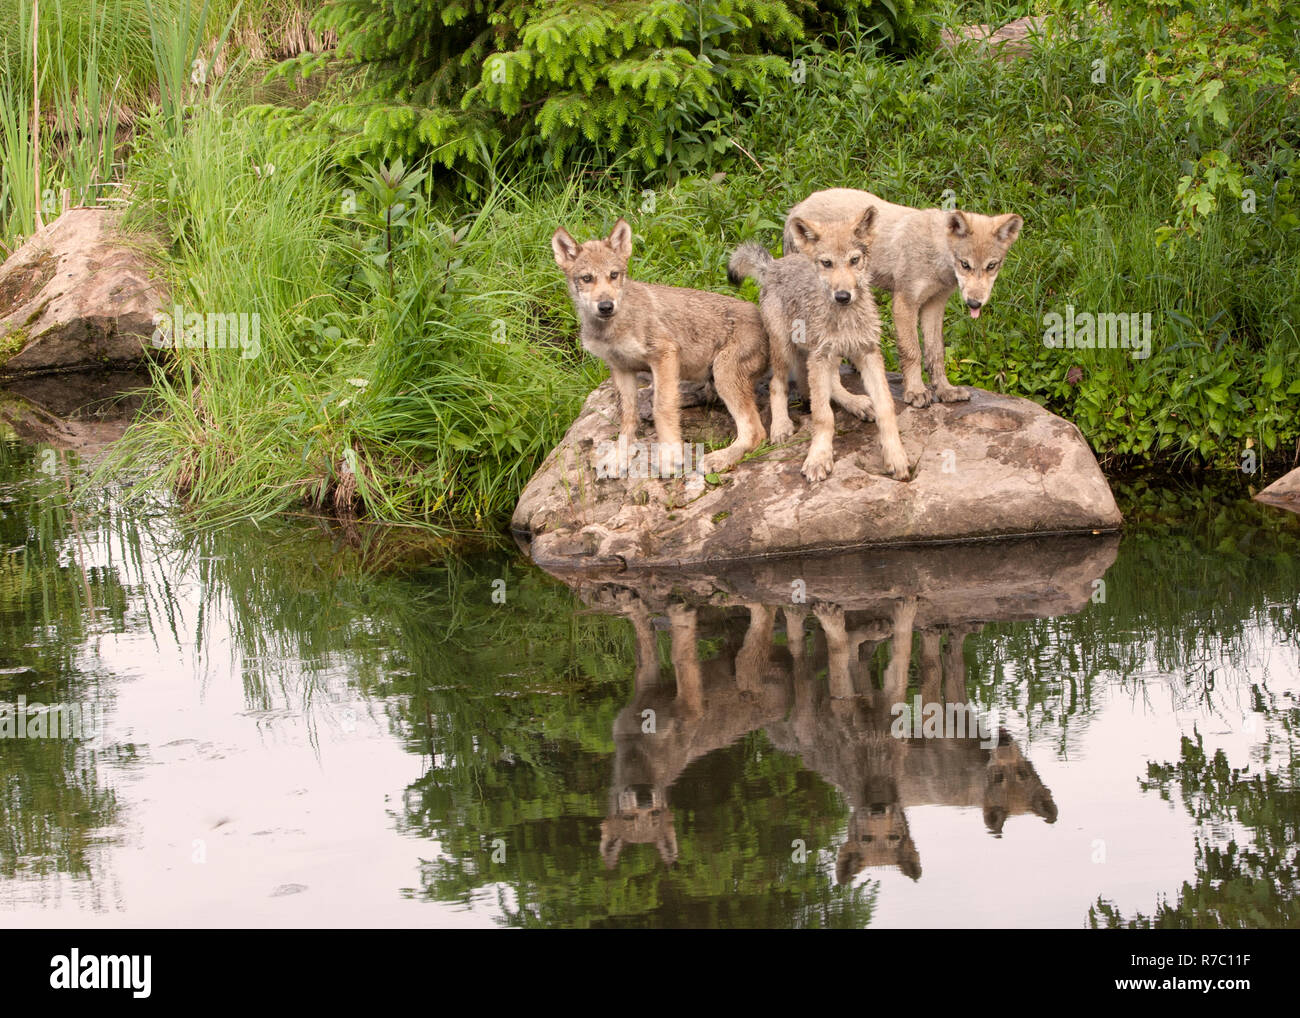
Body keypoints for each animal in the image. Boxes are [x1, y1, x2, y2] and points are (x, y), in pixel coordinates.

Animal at [552, 218, 768, 476]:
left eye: (614, 275)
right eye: (586, 278)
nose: (606, 306)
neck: (611, 328)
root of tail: (761, 313)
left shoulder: (664, 354)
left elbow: (662, 409)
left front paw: (670, 457)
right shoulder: (621, 369)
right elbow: (628, 416)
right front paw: (620, 456)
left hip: (724, 372)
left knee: (756, 432)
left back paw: (719, 458)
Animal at [729, 207, 910, 483]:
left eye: (854, 260)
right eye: (827, 263)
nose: (843, 296)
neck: (844, 317)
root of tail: (773, 265)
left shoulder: (867, 354)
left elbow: (886, 408)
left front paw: (895, 455)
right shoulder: (820, 356)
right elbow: (823, 416)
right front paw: (819, 458)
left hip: (827, 356)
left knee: (830, 383)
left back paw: (857, 403)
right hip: (787, 350)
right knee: (777, 384)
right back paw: (781, 425)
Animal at [784, 189, 1022, 408]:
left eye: (992, 266)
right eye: (965, 264)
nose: (975, 303)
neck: (935, 253)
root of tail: (795, 209)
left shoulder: (934, 306)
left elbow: (936, 353)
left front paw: (945, 390)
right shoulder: (904, 304)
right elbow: (912, 352)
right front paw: (916, 391)